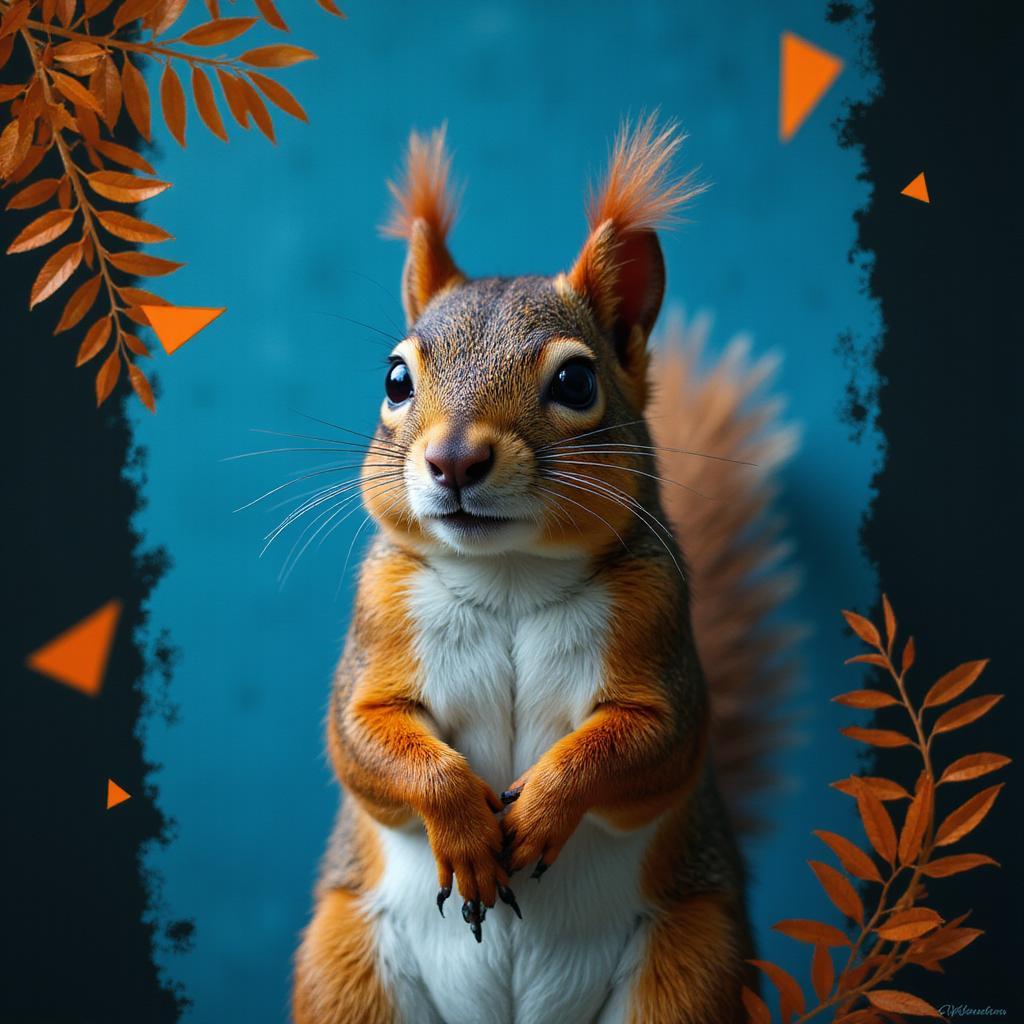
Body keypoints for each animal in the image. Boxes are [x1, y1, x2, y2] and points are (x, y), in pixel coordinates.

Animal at [292, 116, 797, 1024]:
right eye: (395, 378)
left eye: (575, 380)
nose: (454, 460)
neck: (509, 579)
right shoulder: (376, 637)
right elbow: (367, 743)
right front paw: (464, 825)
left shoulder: (660, 646)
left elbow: (644, 742)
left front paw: (541, 811)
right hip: (347, 968)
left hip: (688, 966)